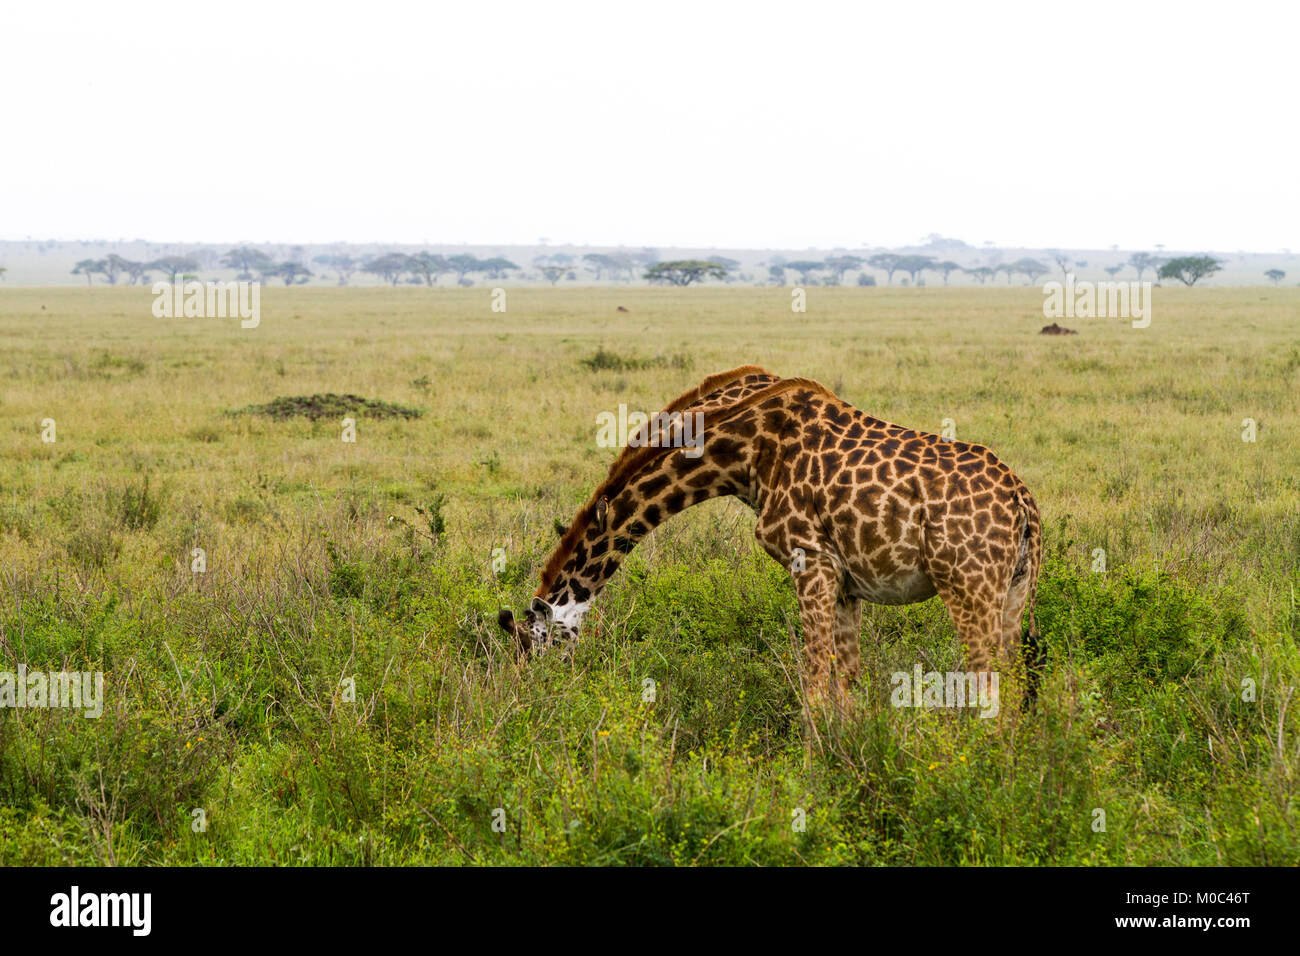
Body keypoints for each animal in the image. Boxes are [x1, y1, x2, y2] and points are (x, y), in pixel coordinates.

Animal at [498, 366, 1044, 710]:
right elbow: (846, 683)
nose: (533, 701)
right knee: (1017, 683)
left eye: (544, 647)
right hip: (1015, 592)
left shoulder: (812, 564)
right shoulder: (846, 583)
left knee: (990, 685)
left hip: (969, 588)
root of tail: (1024, 504)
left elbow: (815, 683)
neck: (744, 455)